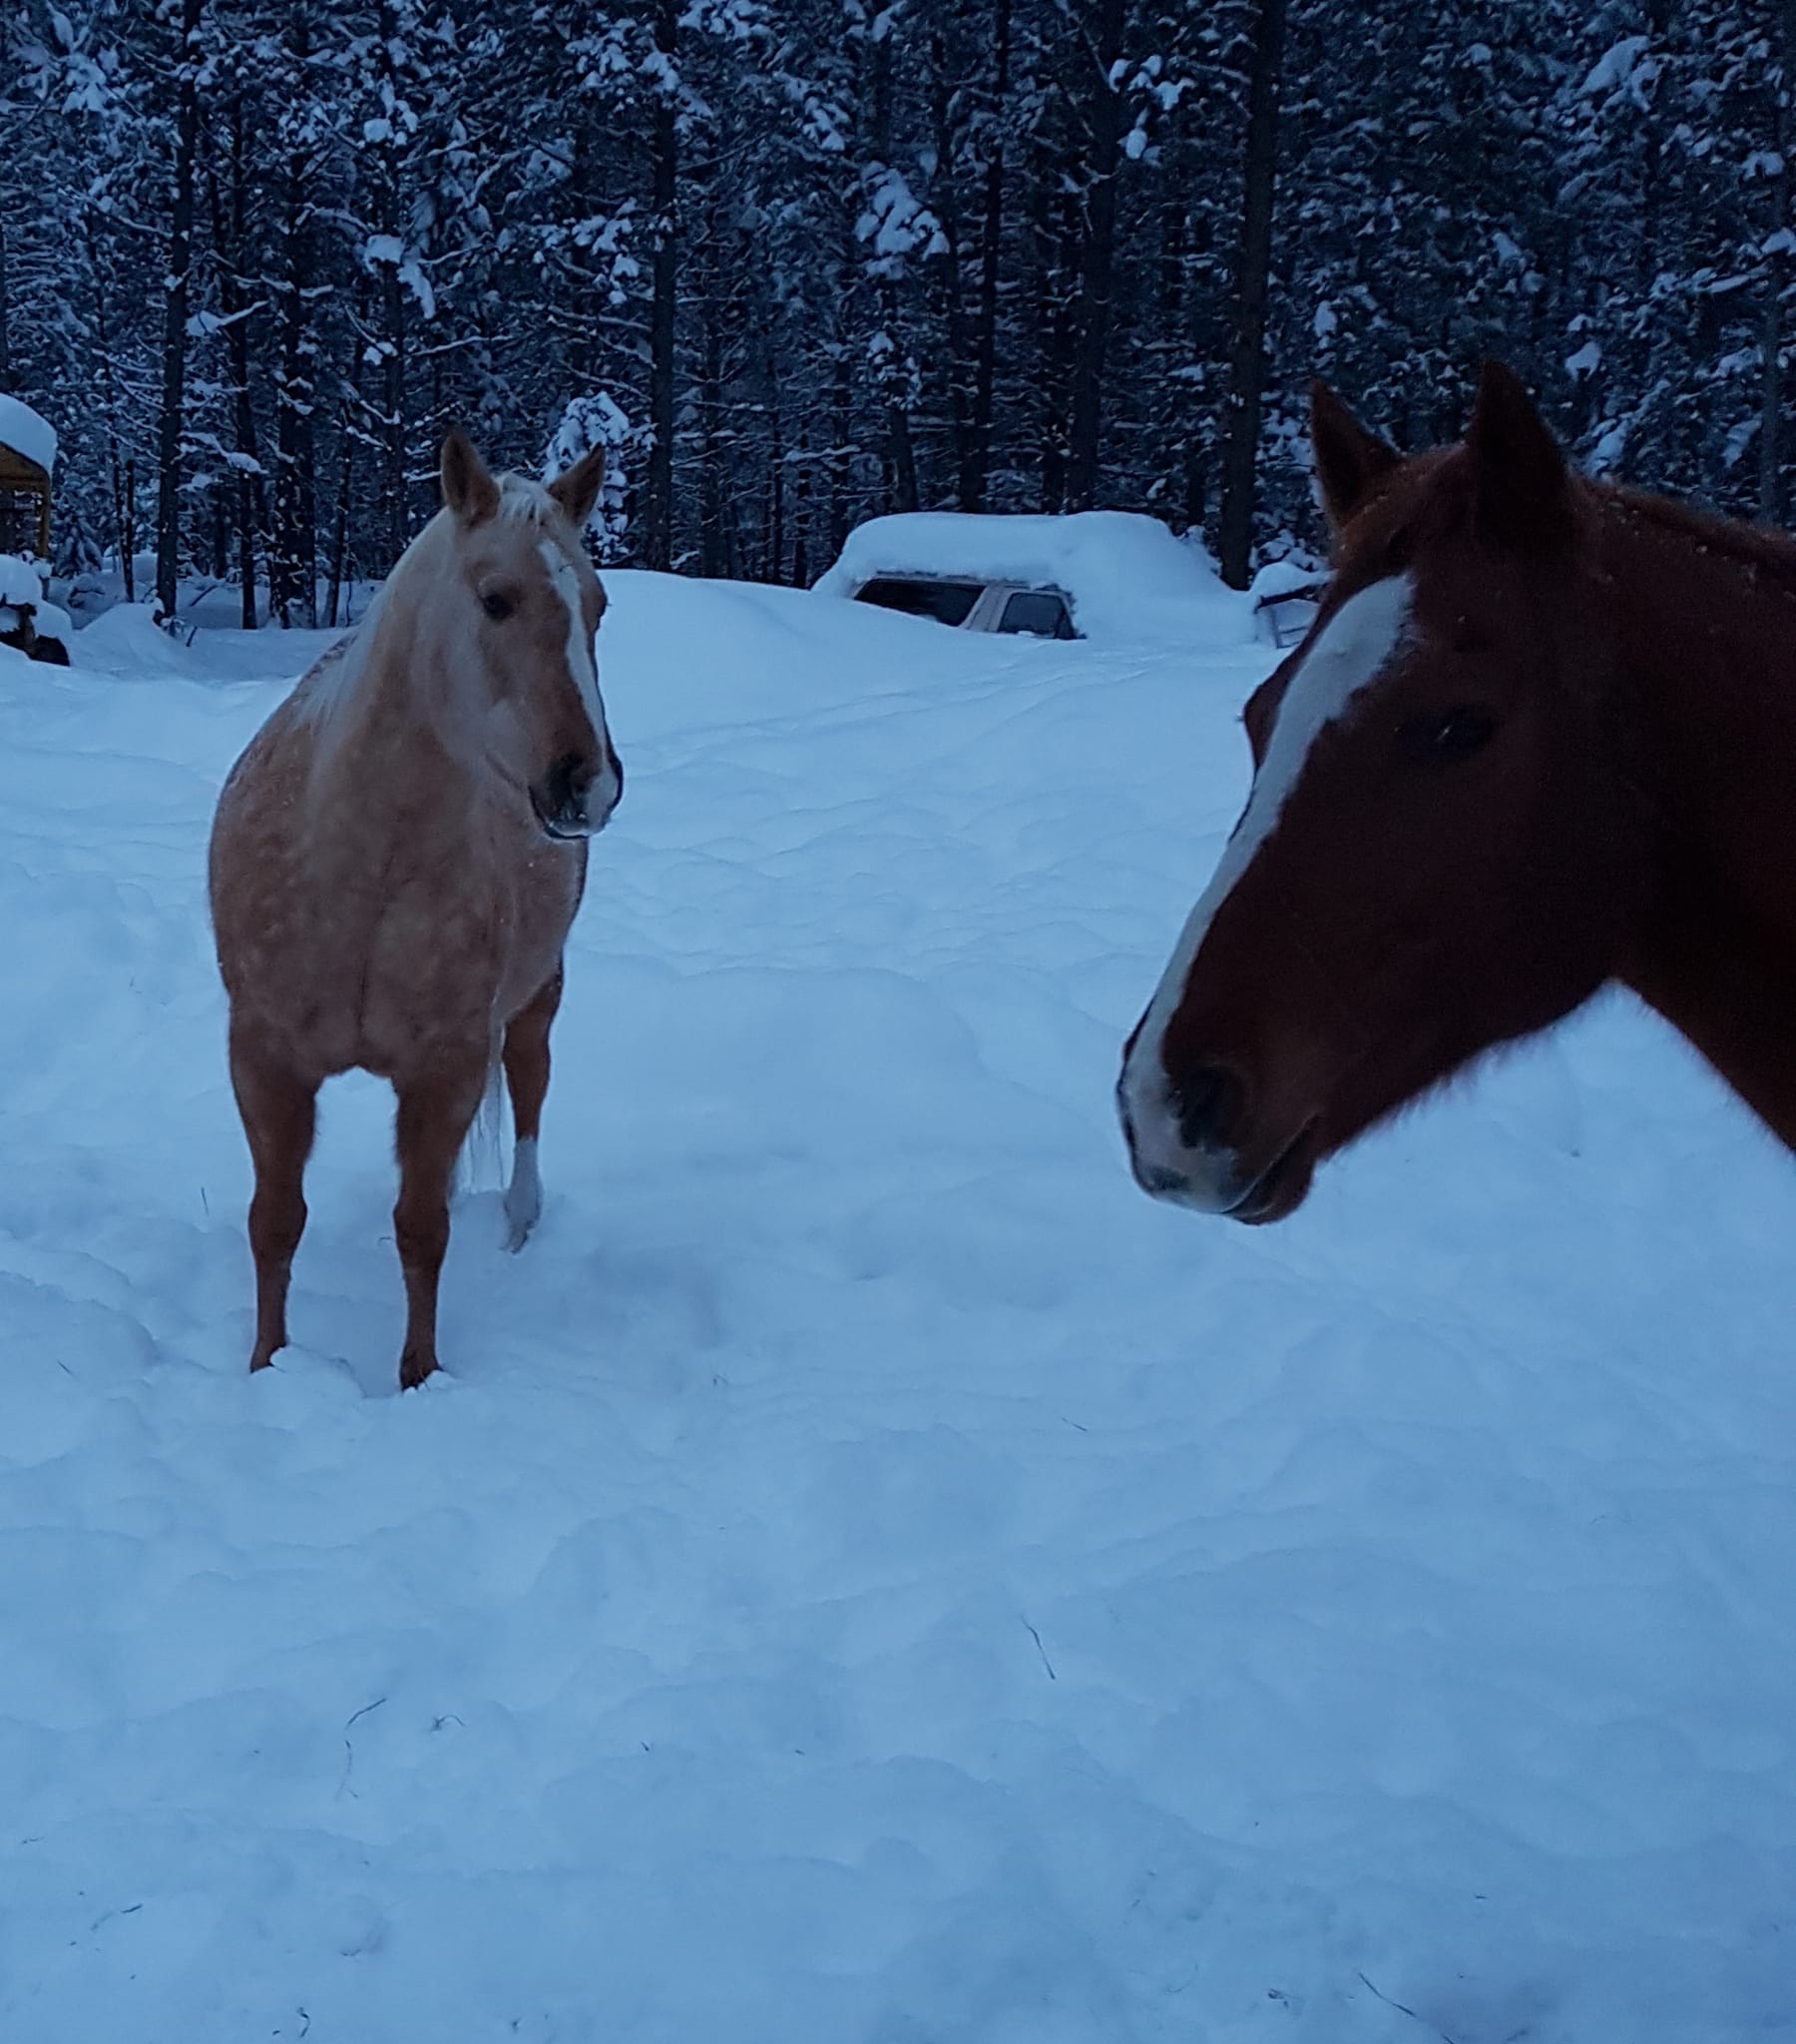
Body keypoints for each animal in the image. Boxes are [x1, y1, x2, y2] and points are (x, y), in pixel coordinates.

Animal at [208, 431, 623, 1386]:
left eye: (598, 605)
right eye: (496, 600)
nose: (588, 786)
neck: (360, 873)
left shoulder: (445, 1069)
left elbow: (421, 1232)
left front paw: (418, 1379)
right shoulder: (263, 1060)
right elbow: (274, 1220)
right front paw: (266, 1365)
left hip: (538, 994)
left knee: (531, 1086)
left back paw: (519, 1221)